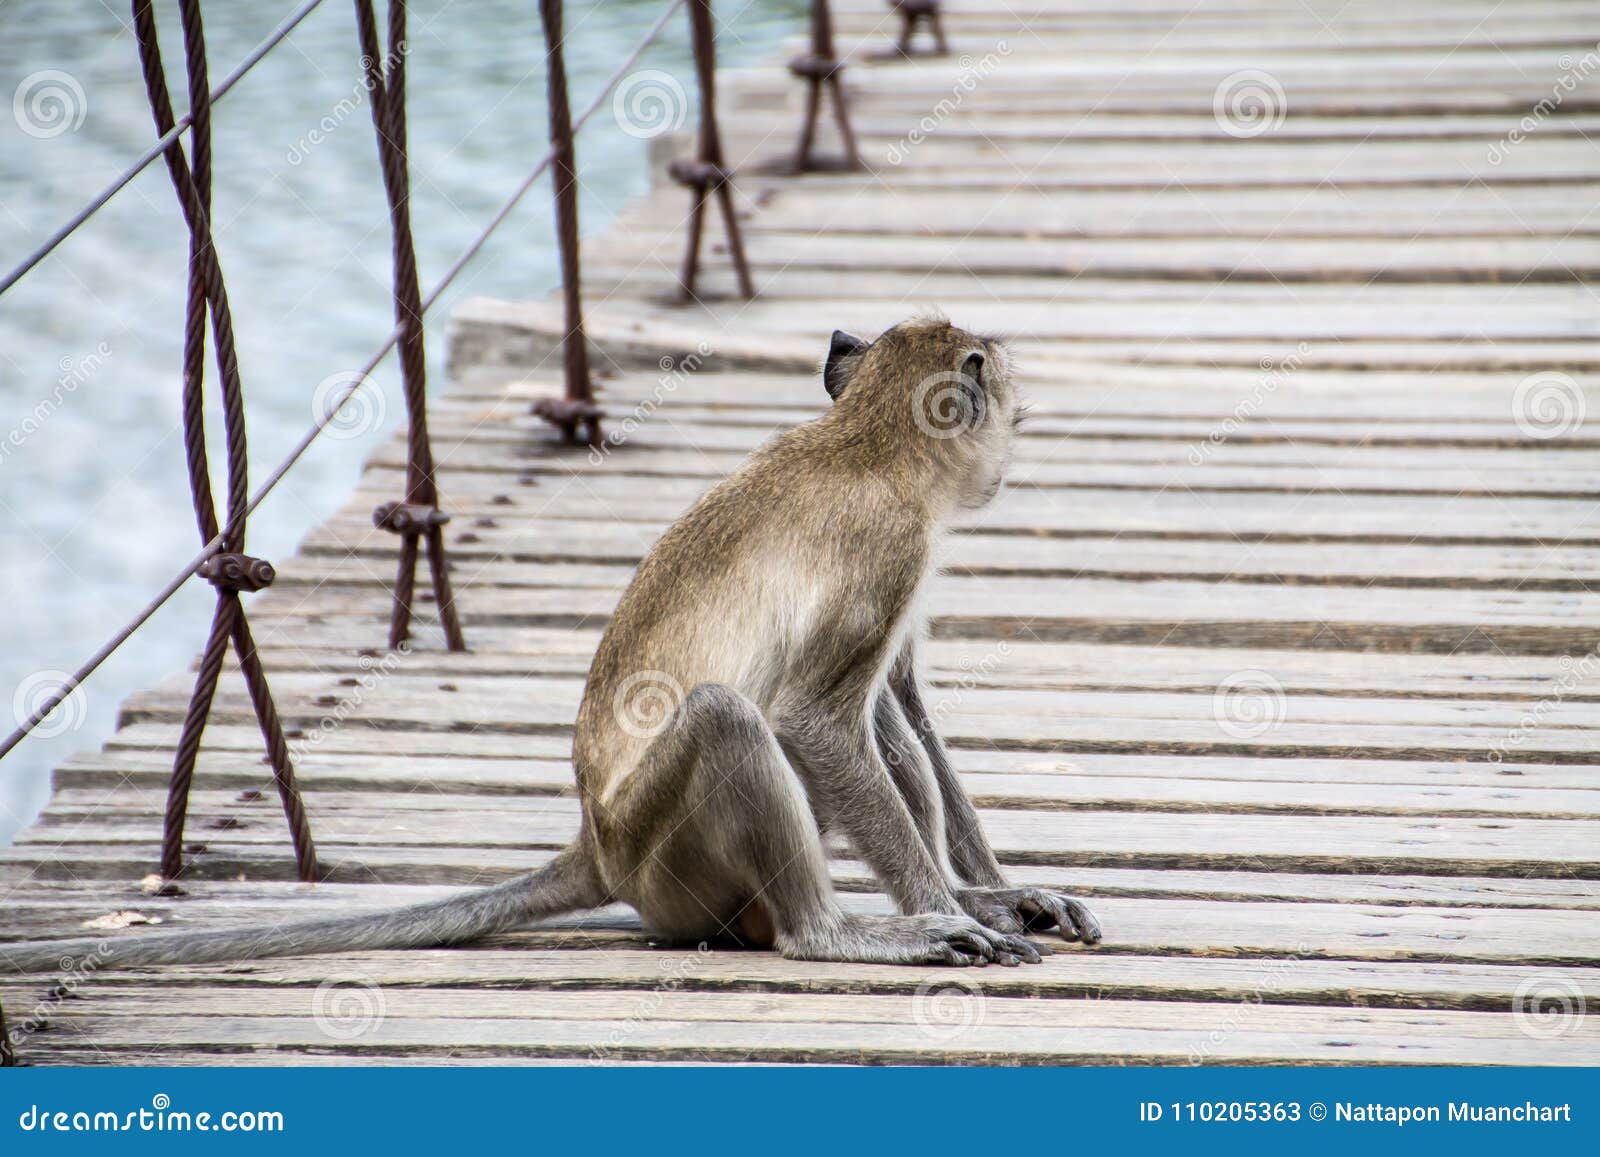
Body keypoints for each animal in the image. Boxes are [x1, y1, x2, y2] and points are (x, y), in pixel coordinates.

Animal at [0, 318, 1098, 975]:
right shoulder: (889, 547)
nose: (1010, 444)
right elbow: (818, 720)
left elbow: (895, 710)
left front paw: (992, 892)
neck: (868, 440)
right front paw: (953, 910)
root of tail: (597, 847)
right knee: (729, 718)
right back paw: (827, 935)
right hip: (667, 852)